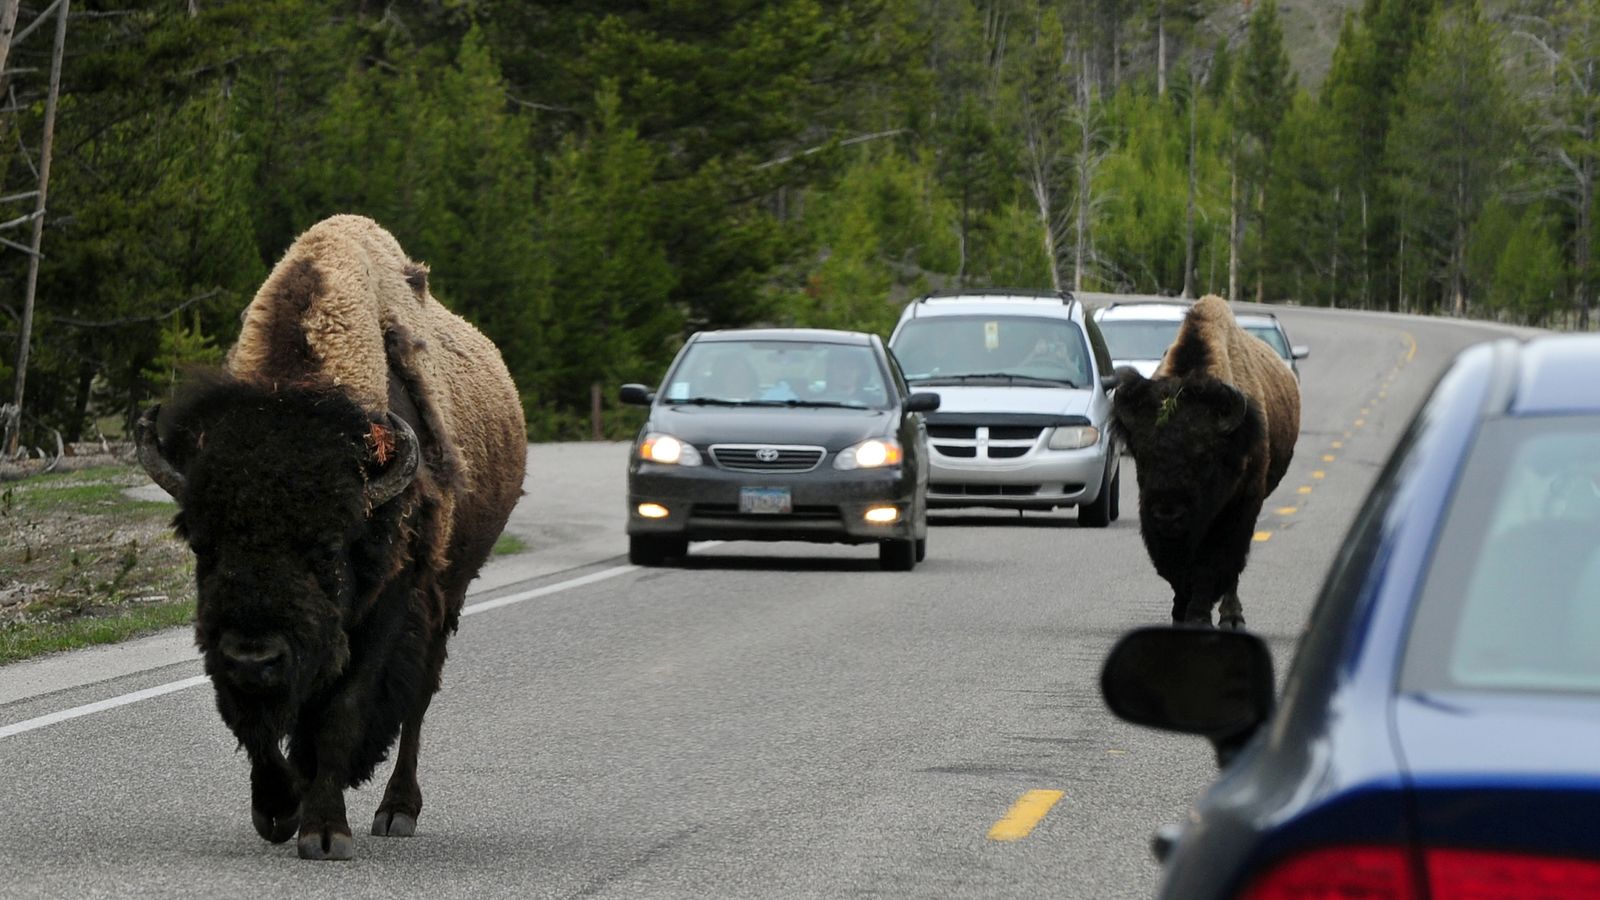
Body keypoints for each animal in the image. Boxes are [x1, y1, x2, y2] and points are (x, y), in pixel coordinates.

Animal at [136, 215, 526, 859]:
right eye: (203, 545)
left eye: (327, 547)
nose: (253, 655)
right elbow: (255, 720)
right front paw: (277, 809)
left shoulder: (389, 606)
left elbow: (343, 709)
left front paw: (324, 831)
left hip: (449, 594)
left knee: (418, 699)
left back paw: (397, 811)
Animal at [1110, 295, 1300, 629]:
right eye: (1142, 455)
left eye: (1204, 456)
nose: (1168, 514)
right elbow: (1176, 571)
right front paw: (1179, 614)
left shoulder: (1237, 509)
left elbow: (1212, 566)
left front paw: (1198, 617)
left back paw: (1232, 617)